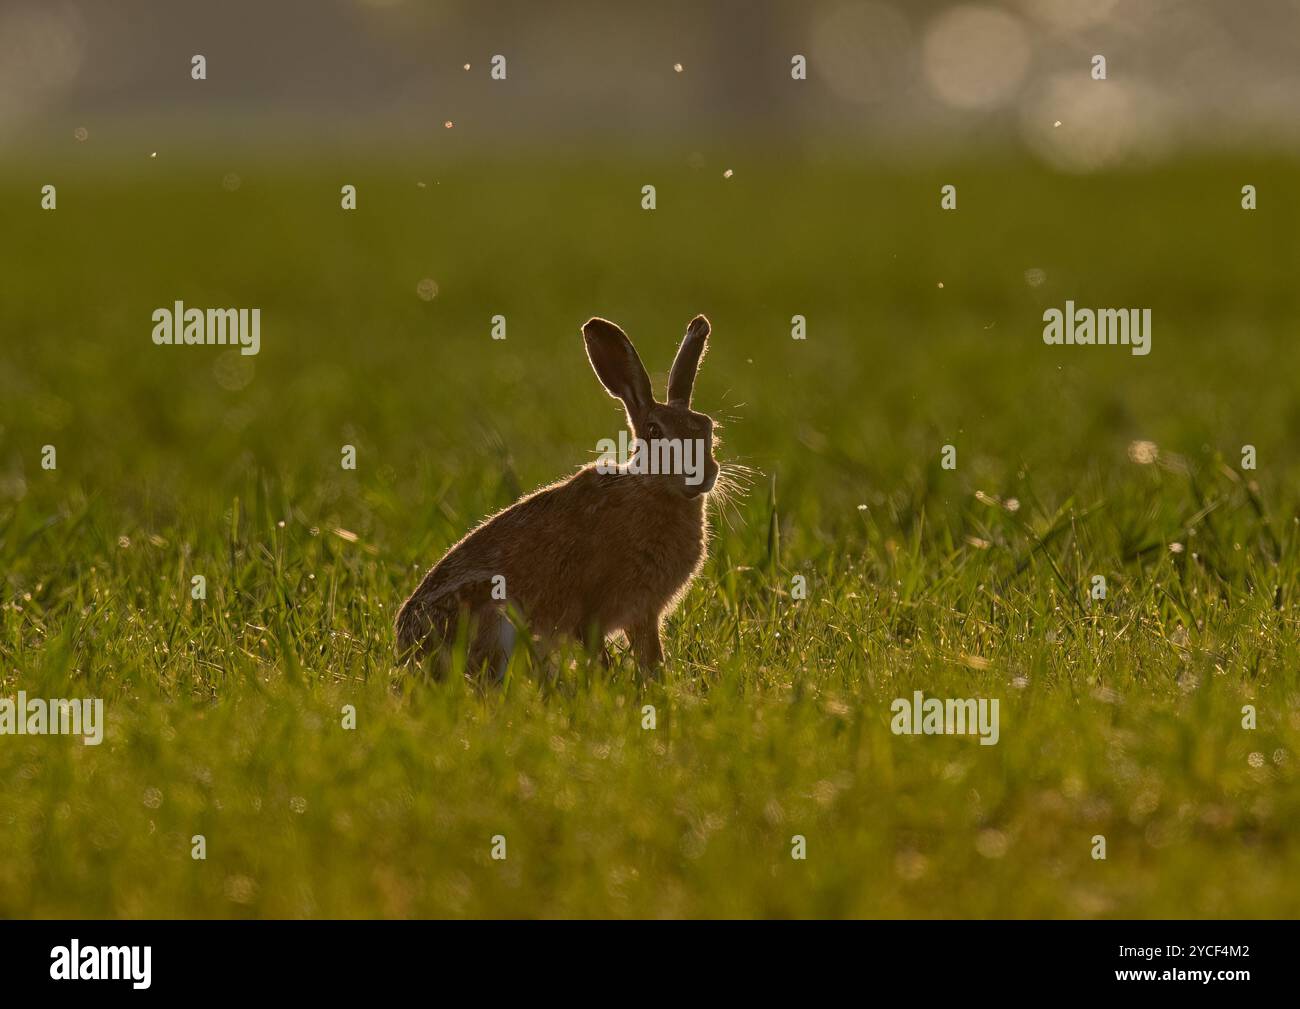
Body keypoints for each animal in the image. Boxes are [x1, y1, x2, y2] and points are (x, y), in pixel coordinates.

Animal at [395, 314, 719, 681]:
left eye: (708, 427)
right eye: (654, 431)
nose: (704, 473)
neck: (650, 488)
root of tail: (406, 653)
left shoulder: (643, 614)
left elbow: (649, 656)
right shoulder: (594, 606)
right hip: (492, 608)